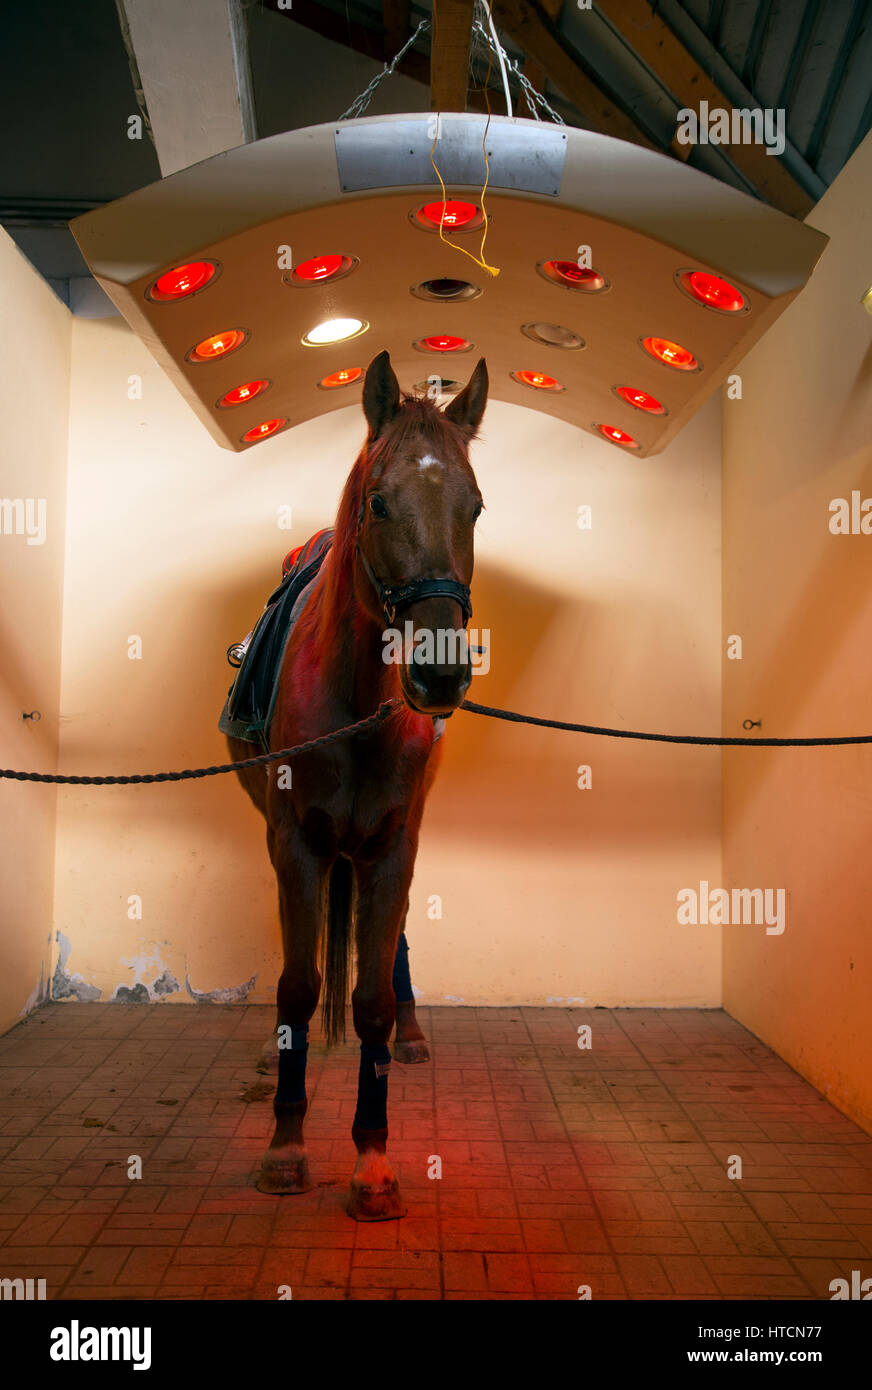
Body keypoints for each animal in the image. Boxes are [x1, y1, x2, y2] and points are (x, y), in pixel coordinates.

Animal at [227, 350, 488, 1220]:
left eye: (475, 508)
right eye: (379, 502)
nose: (439, 674)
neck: (355, 697)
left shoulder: (391, 846)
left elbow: (370, 992)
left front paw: (372, 1160)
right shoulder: (296, 846)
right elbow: (298, 986)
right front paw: (285, 1145)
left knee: (394, 948)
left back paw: (410, 1038)